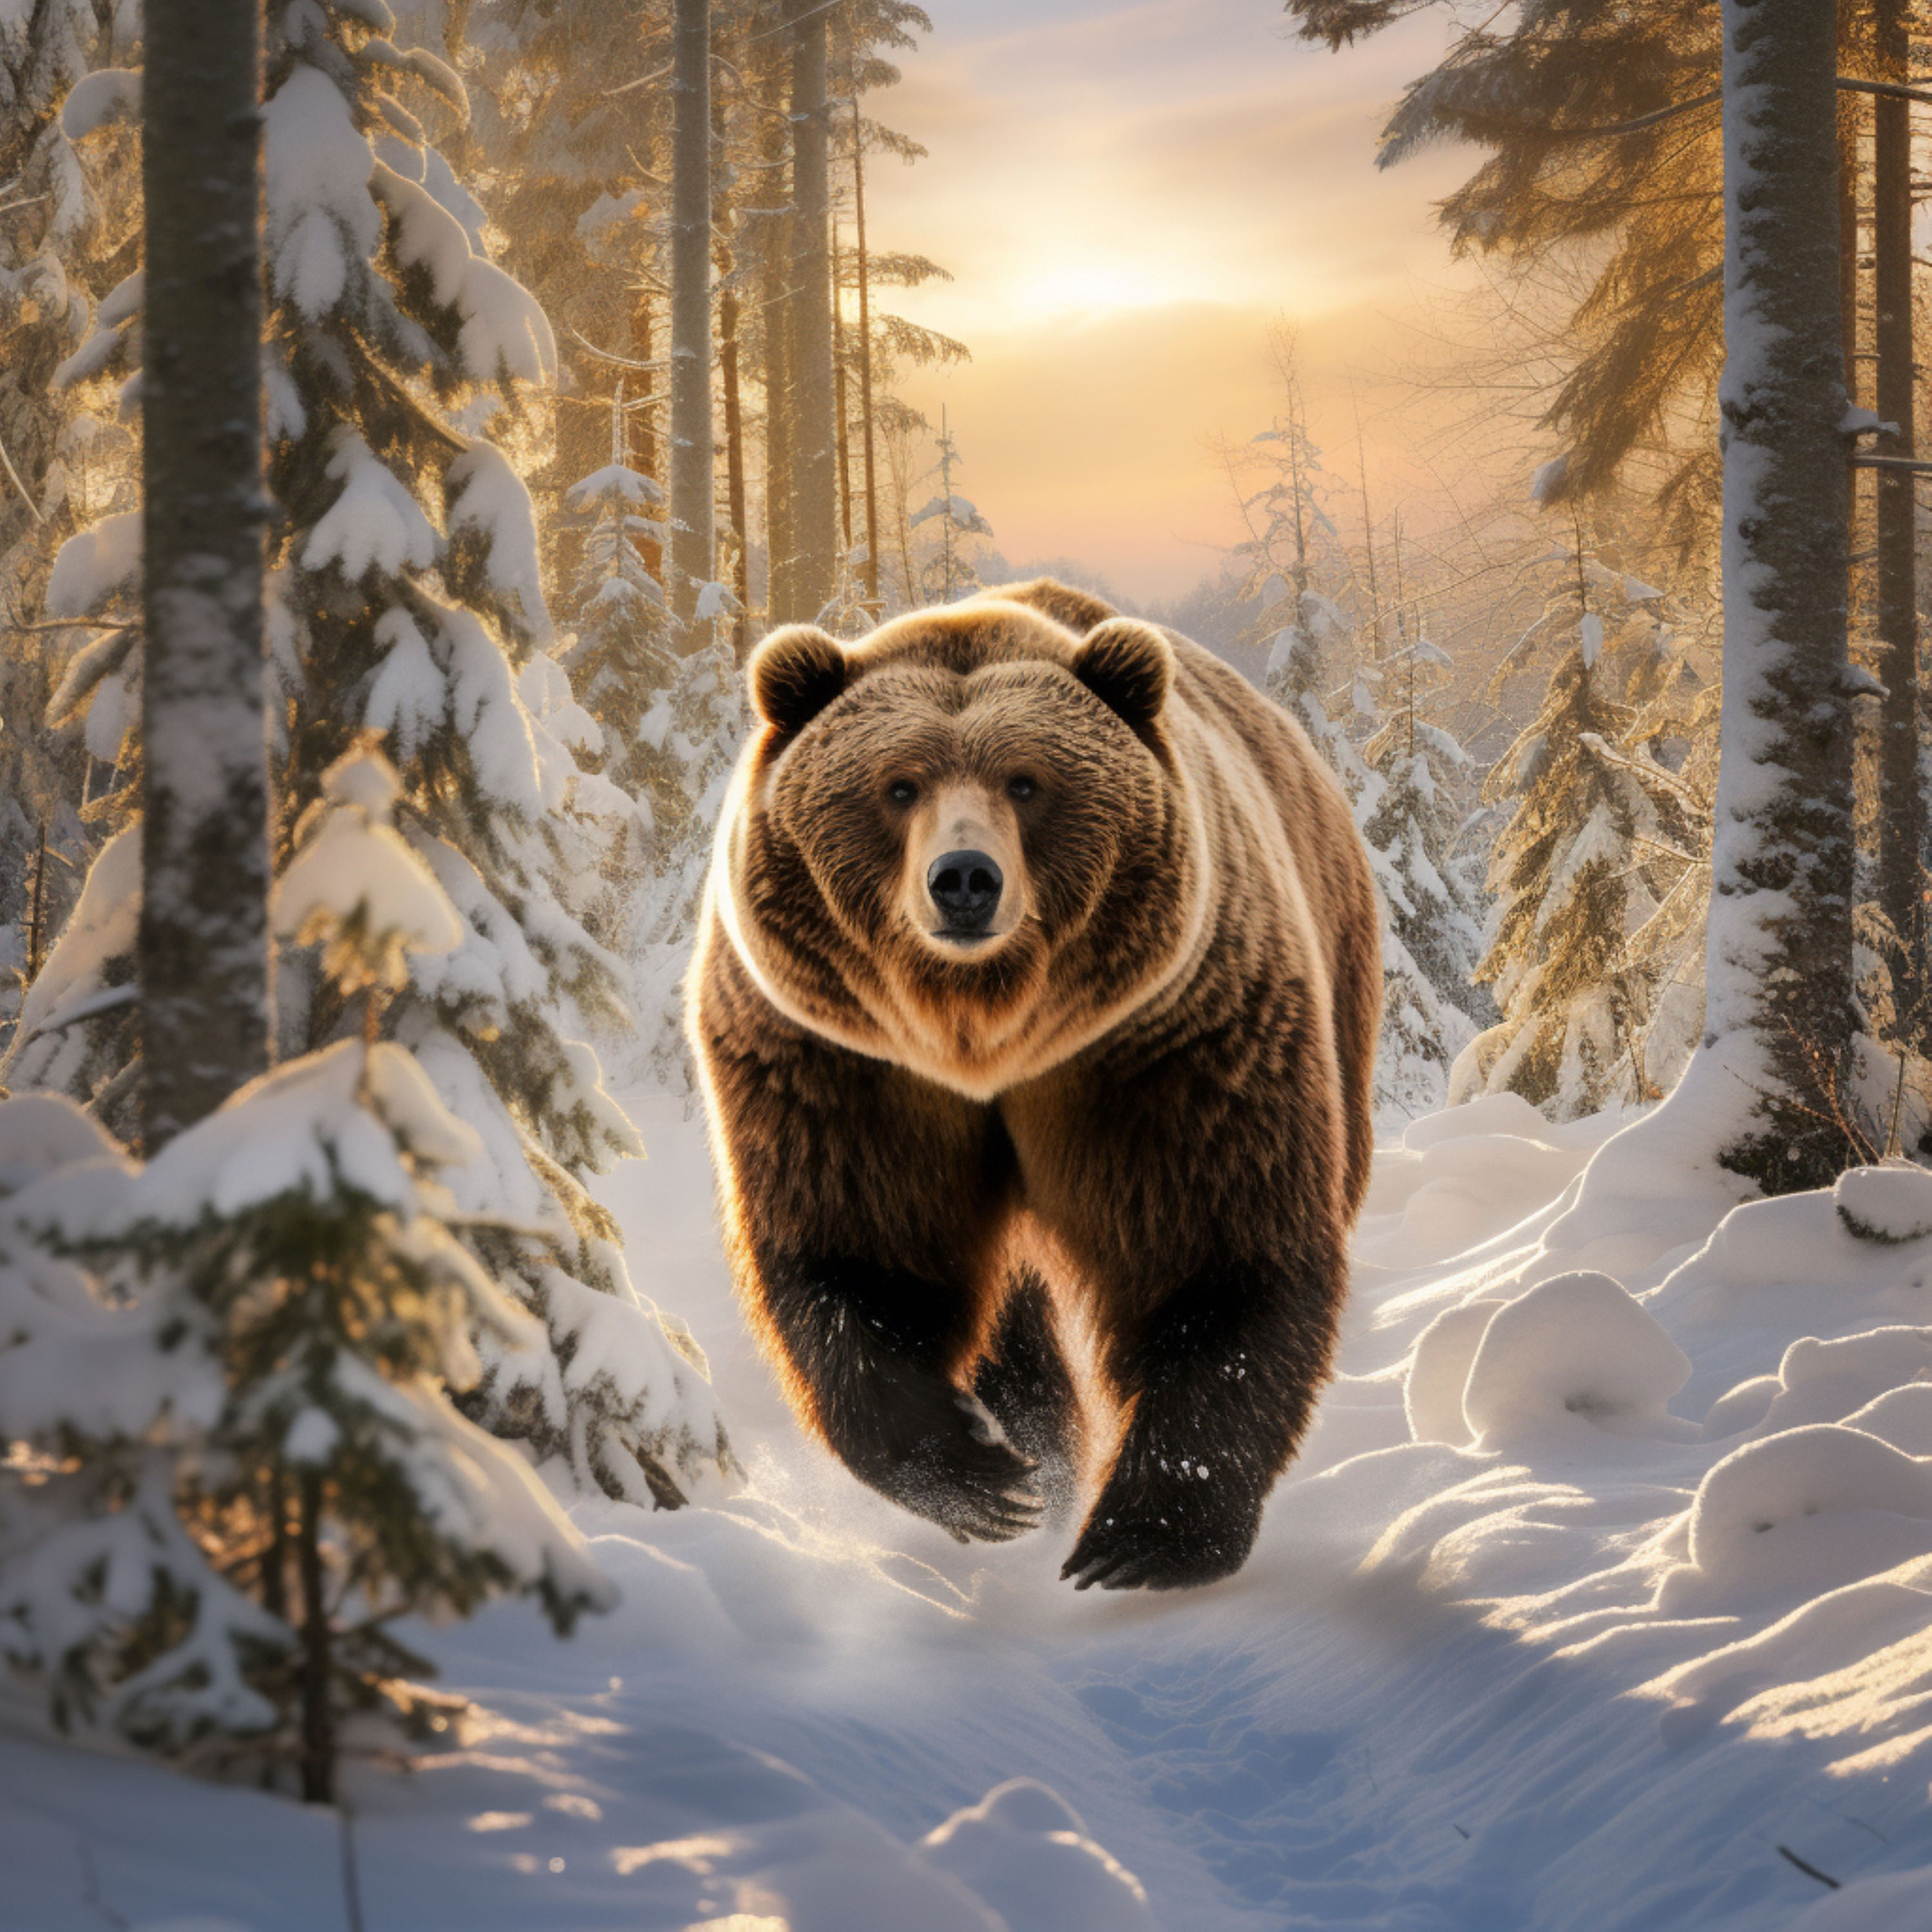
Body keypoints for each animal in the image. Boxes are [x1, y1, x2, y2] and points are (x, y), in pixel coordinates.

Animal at [687, 578, 1380, 1590]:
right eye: (898, 785)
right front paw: (982, 1479)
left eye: (1026, 781)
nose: (964, 879)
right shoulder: (840, 1063)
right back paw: (1034, 1451)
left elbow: (1215, 1254)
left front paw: (1143, 1535)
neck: (984, 1039)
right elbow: (860, 1253)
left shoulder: (1165, 1047)